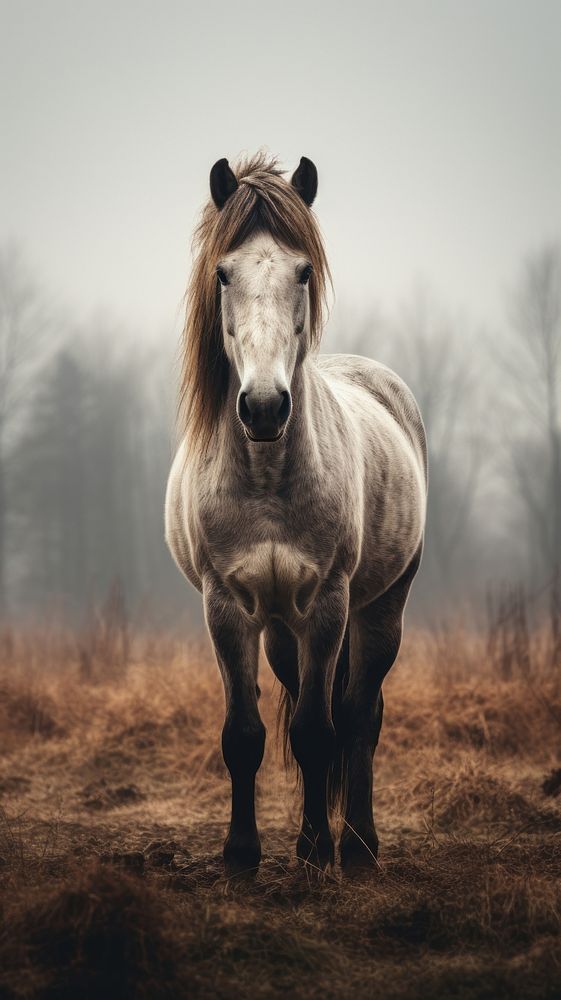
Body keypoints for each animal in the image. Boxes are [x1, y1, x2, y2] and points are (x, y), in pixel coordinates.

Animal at [165, 153, 427, 876]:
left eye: (302, 271)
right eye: (223, 273)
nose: (262, 406)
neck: (266, 481)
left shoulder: (329, 604)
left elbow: (317, 731)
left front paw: (313, 852)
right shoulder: (226, 608)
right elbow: (243, 735)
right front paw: (241, 854)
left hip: (380, 607)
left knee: (360, 716)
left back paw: (359, 846)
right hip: (281, 627)